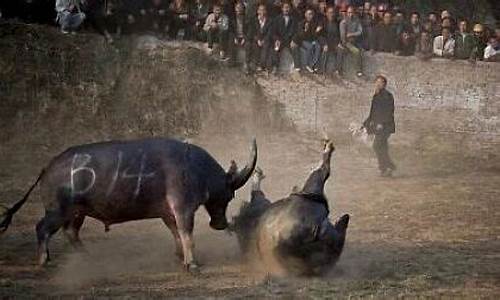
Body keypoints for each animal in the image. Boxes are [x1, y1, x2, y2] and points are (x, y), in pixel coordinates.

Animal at [0, 138, 256, 272]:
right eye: (230, 194)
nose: (220, 224)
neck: (196, 169)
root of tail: (47, 168)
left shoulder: (169, 213)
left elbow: (175, 232)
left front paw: (178, 255)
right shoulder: (183, 208)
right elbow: (186, 234)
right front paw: (191, 263)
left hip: (76, 213)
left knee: (71, 232)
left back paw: (87, 257)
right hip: (58, 211)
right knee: (42, 228)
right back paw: (44, 260)